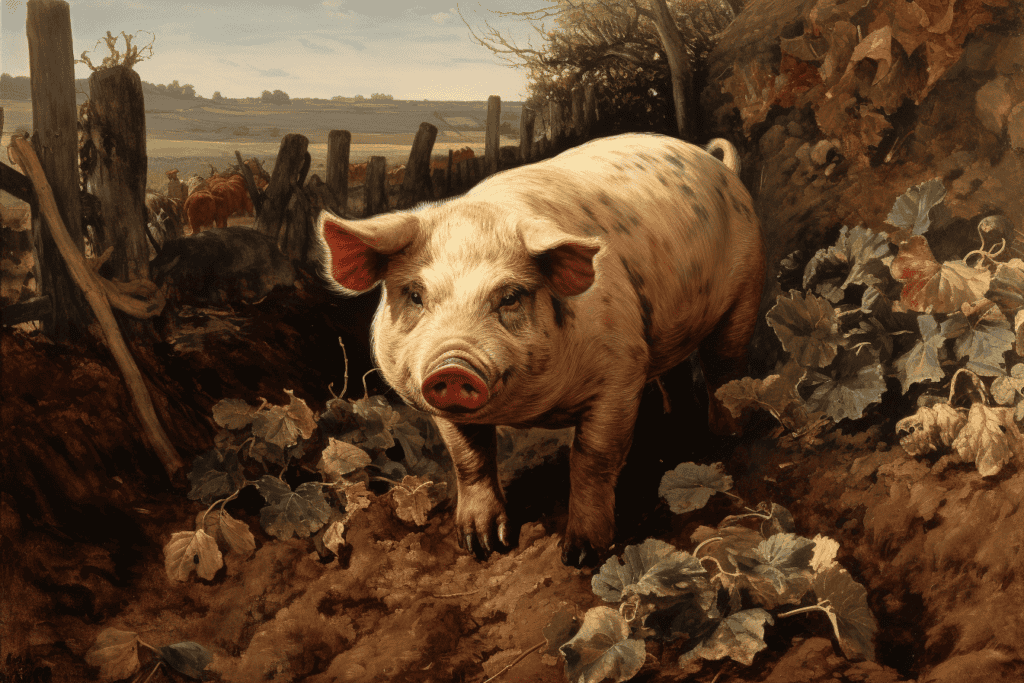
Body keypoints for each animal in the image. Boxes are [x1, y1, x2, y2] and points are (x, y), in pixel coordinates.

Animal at [315, 133, 765, 565]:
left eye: (510, 297)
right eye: (415, 295)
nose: (453, 367)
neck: (532, 413)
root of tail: (720, 167)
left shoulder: (621, 372)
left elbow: (592, 458)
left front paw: (582, 555)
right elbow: (468, 457)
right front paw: (482, 546)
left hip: (746, 288)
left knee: (725, 367)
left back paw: (725, 439)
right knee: (675, 372)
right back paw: (676, 429)